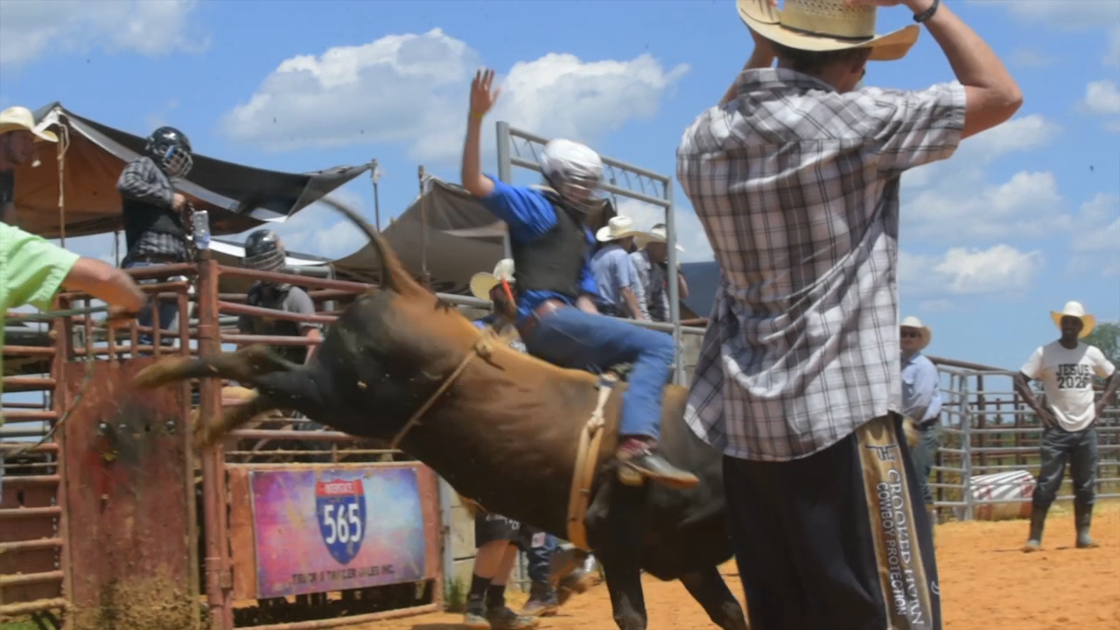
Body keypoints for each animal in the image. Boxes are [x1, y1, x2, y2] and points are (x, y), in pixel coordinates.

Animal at [132, 198, 749, 630]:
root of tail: (406, 286)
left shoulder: (691, 559)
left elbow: (731, 612)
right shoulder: (614, 537)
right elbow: (633, 615)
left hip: (334, 396)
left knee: (265, 372)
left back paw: (211, 421)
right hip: (341, 398)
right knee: (257, 365)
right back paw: (162, 378)